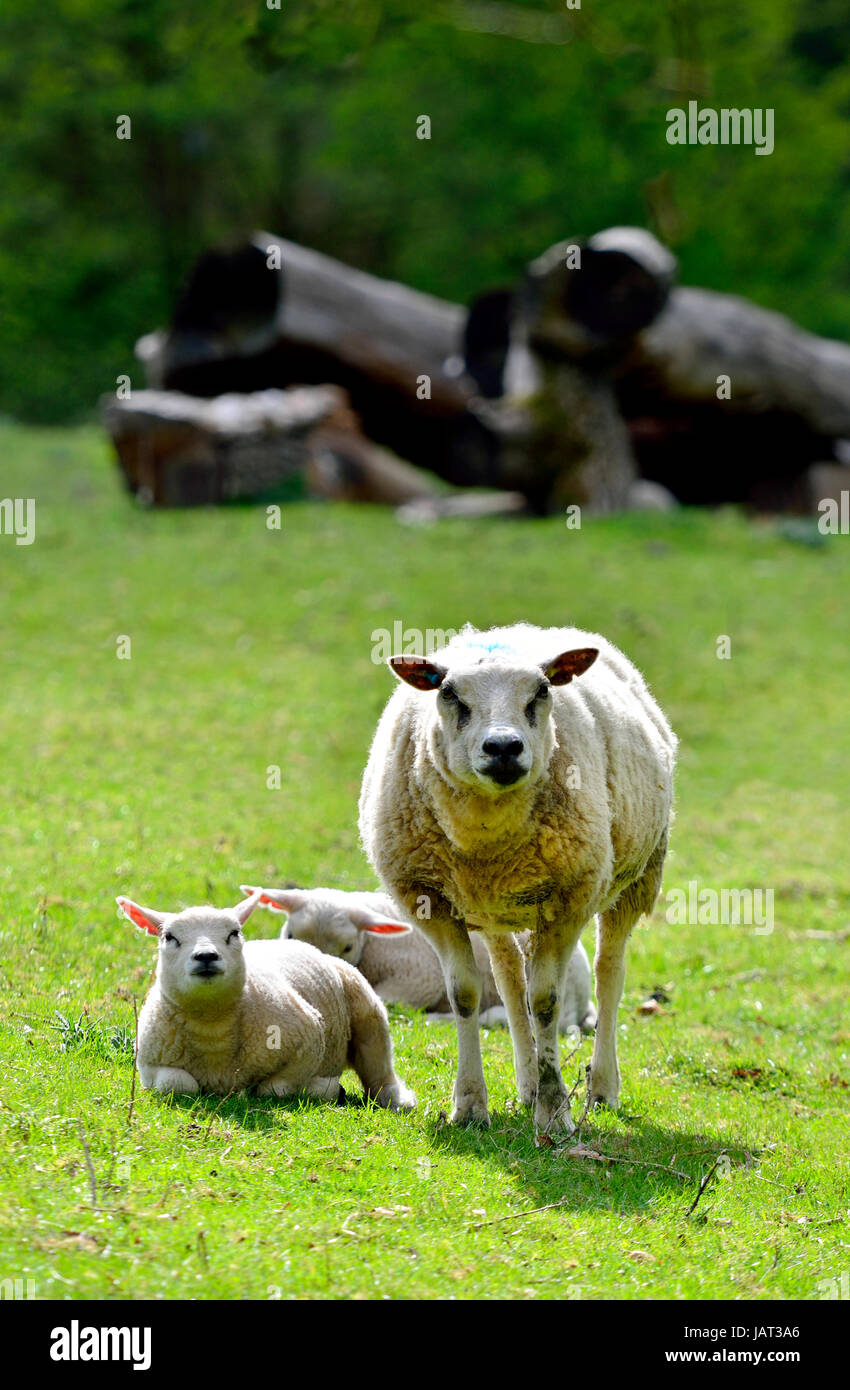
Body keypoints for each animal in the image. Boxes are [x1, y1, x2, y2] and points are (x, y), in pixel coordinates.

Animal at [115, 890, 415, 1110]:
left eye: (234, 933)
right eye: (169, 937)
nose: (206, 956)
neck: (212, 1028)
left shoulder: (308, 1040)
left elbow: (276, 1088)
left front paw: (324, 1088)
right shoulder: (149, 1065)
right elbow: (177, 1084)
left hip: (368, 1013)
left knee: (378, 1072)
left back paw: (398, 1099)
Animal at [358, 622, 676, 1132]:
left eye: (542, 690)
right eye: (448, 692)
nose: (503, 747)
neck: (487, 834)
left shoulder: (568, 902)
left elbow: (545, 1001)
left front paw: (554, 1112)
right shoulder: (431, 902)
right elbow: (465, 995)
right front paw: (470, 1104)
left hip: (637, 877)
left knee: (609, 972)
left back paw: (602, 1087)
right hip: (493, 909)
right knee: (509, 978)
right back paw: (527, 1083)